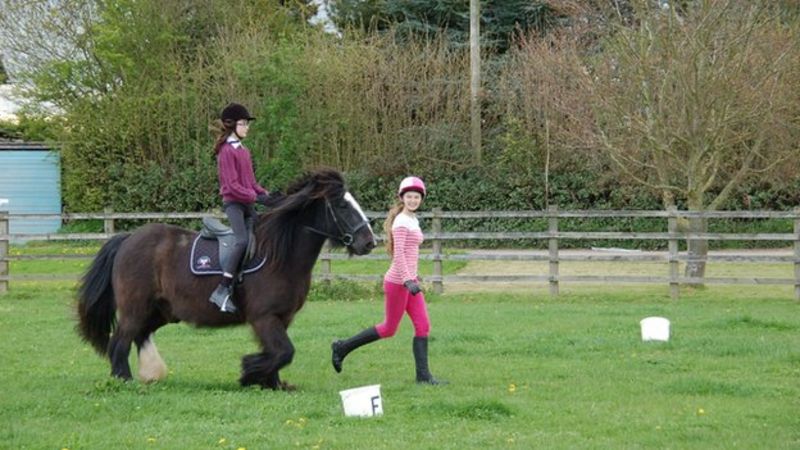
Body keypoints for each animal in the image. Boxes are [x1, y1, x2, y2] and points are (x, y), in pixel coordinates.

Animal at [76, 169, 376, 390]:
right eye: (341, 205)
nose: (369, 242)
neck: (280, 254)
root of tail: (128, 239)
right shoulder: (264, 317)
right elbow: (283, 352)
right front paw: (249, 371)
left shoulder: (281, 318)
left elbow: (278, 352)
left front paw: (272, 383)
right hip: (135, 309)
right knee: (119, 342)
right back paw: (124, 381)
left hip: (162, 312)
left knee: (139, 336)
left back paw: (149, 373)